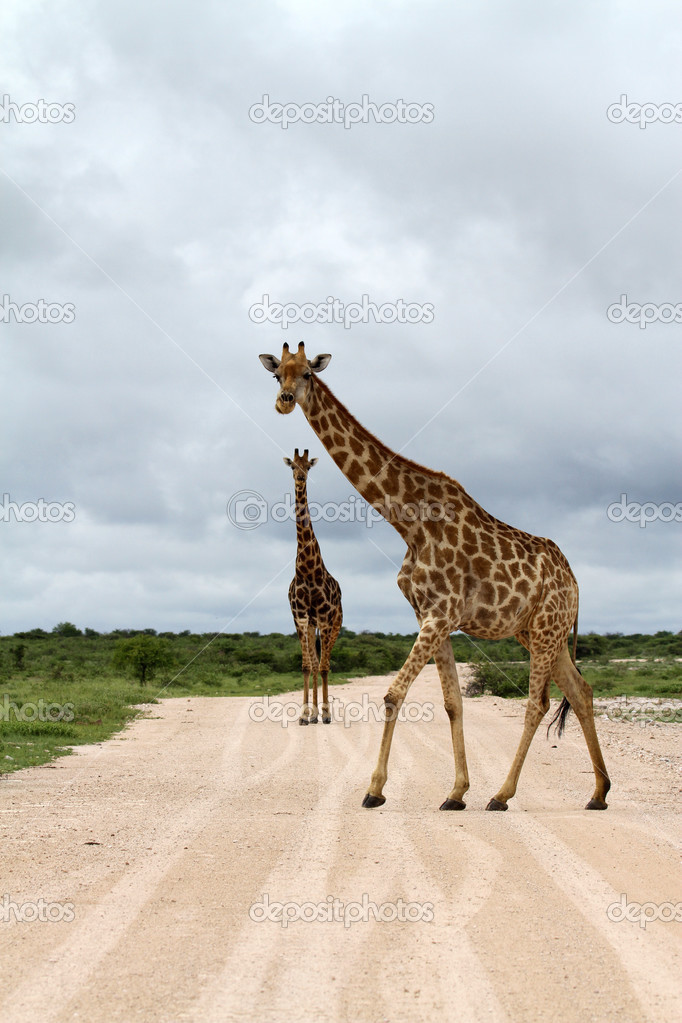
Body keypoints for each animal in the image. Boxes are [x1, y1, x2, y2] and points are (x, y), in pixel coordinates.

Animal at [260, 342, 611, 811]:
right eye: (276, 373)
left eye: (308, 375)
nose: (283, 401)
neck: (409, 522)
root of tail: (575, 582)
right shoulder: (430, 615)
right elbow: (452, 702)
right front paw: (456, 792)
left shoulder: (440, 614)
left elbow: (394, 694)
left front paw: (374, 789)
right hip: (537, 630)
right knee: (581, 690)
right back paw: (599, 793)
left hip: (547, 628)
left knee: (537, 702)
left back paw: (502, 794)